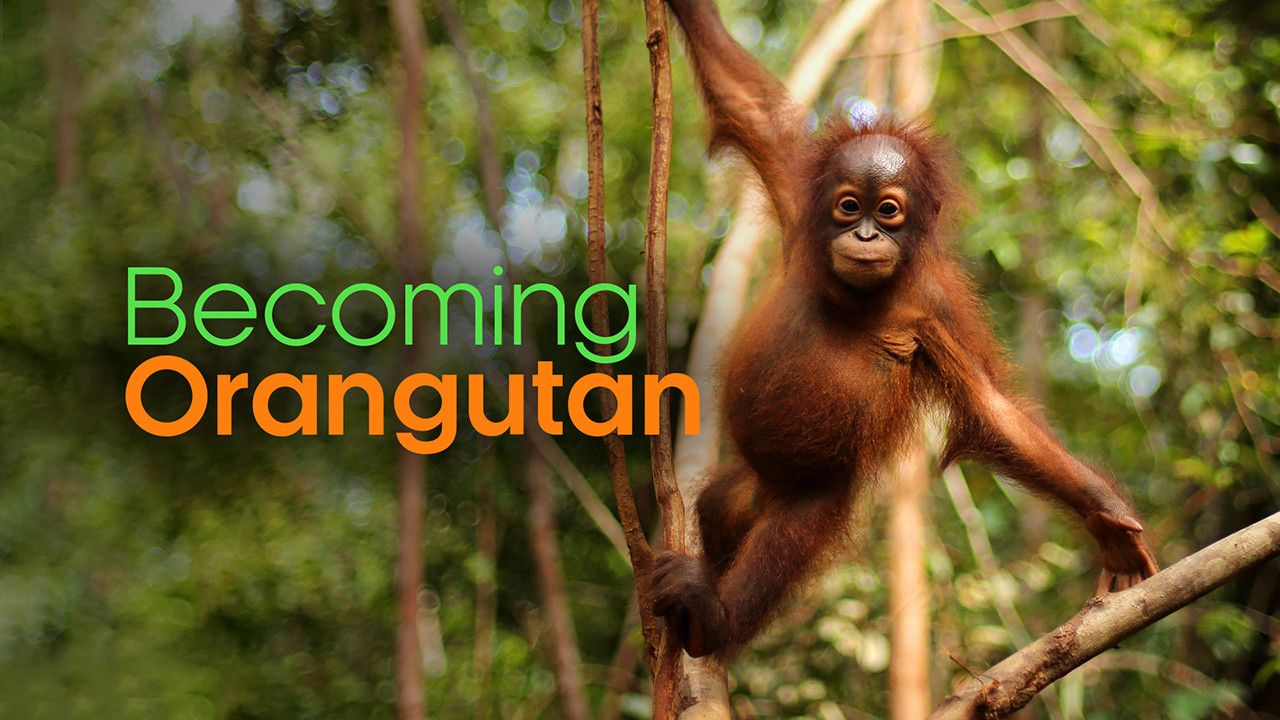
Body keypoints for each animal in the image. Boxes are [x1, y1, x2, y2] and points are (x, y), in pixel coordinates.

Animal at [650, 0, 1160, 659]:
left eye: (888, 210)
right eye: (849, 205)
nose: (866, 234)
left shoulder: (937, 306)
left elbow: (993, 409)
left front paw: (1106, 517)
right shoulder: (797, 185)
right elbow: (746, 105)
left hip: (814, 497)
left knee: (784, 542)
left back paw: (714, 617)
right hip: (744, 489)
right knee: (716, 507)